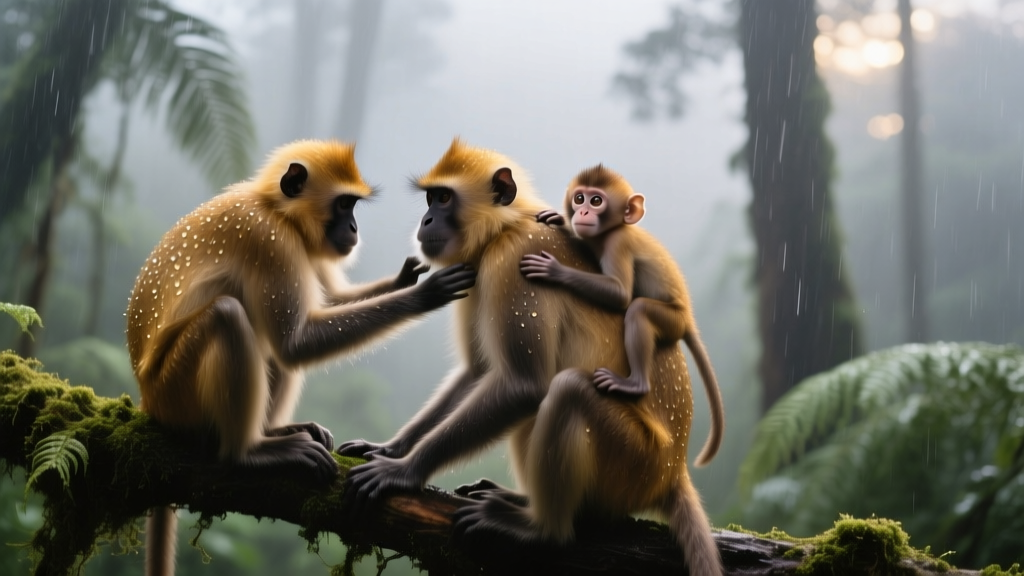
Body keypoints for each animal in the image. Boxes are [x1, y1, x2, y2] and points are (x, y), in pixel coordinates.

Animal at [125, 139, 475, 576]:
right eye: (344, 205)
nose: (354, 229)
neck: (275, 209)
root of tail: (148, 398)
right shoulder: (271, 239)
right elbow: (297, 343)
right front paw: (423, 293)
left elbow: (319, 312)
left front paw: (402, 279)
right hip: (176, 389)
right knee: (231, 317)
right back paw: (248, 452)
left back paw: (275, 431)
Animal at [520, 164, 724, 427]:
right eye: (579, 198)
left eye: (596, 201)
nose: (583, 211)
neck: (612, 230)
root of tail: (688, 319)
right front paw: (559, 218)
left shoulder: (619, 244)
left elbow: (619, 295)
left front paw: (554, 269)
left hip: (673, 321)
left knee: (639, 310)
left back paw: (635, 385)